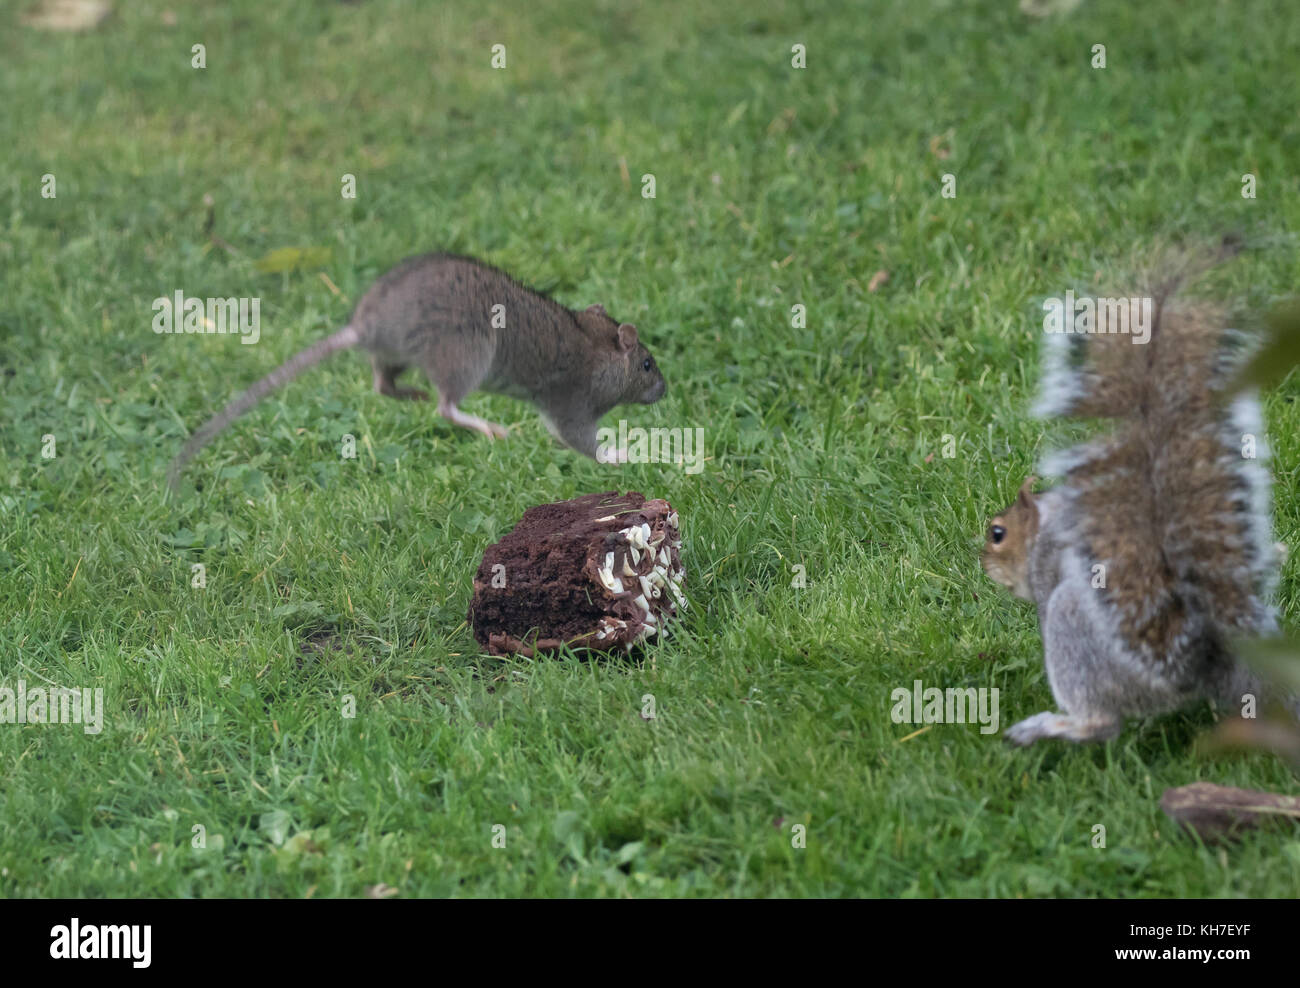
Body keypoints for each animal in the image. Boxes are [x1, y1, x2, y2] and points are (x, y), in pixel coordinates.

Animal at [166, 252, 667, 490]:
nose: (665, 390)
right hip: (469, 353)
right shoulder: (572, 404)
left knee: (383, 384)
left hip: (400, 357)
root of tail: (366, 325)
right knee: (447, 407)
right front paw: (620, 454)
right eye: (647, 364)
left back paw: (413, 395)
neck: (596, 342)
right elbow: (579, 441)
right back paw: (489, 428)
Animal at [980, 249, 1285, 746]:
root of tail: (1198, 669)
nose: (982, 563)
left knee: (1102, 722)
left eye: (998, 533)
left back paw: (1050, 727)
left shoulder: (1045, 573)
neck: (1051, 520)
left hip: (1074, 625)